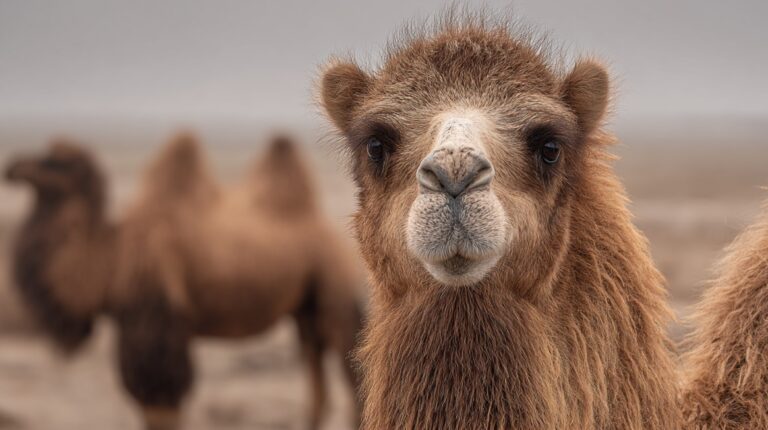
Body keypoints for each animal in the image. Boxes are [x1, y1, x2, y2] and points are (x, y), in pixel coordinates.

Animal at [6, 136, 363, 430]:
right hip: (307, 313)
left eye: (54, 161)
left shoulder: (156, 324)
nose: (12, 167)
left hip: (337, 293)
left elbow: (161, 405)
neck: (111, 259)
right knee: (317, 387)